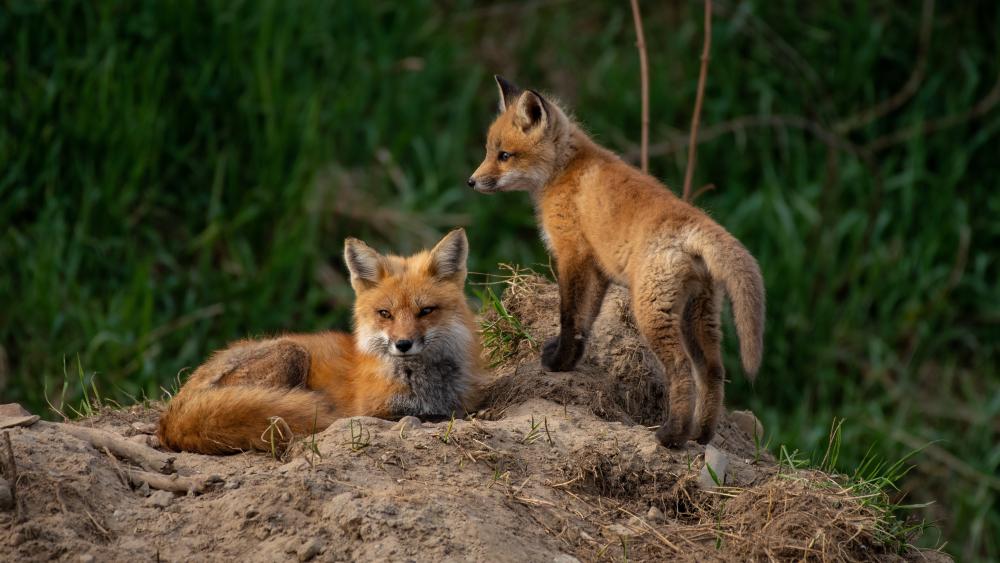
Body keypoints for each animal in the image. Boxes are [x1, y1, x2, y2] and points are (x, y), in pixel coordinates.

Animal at [157, 229, 485, 454]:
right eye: (385, 314)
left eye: (426, 311)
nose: (403, 344)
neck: (420, 382)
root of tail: (175, 411)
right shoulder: (376, 410)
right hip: (291, 353)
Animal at [468, 76, 765, 448]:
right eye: (488, 152)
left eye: (505, 155)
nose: (471, 181)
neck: (565, 169)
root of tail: (697, 225)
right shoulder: (597, 268)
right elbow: (585, 322)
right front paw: (568, 362)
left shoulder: (573, 253)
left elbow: (569, 316)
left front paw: (558, 362)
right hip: (699, 315)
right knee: (713, 371)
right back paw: (701, 435)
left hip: (651, 312)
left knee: (681, 369)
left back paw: (672, 435)